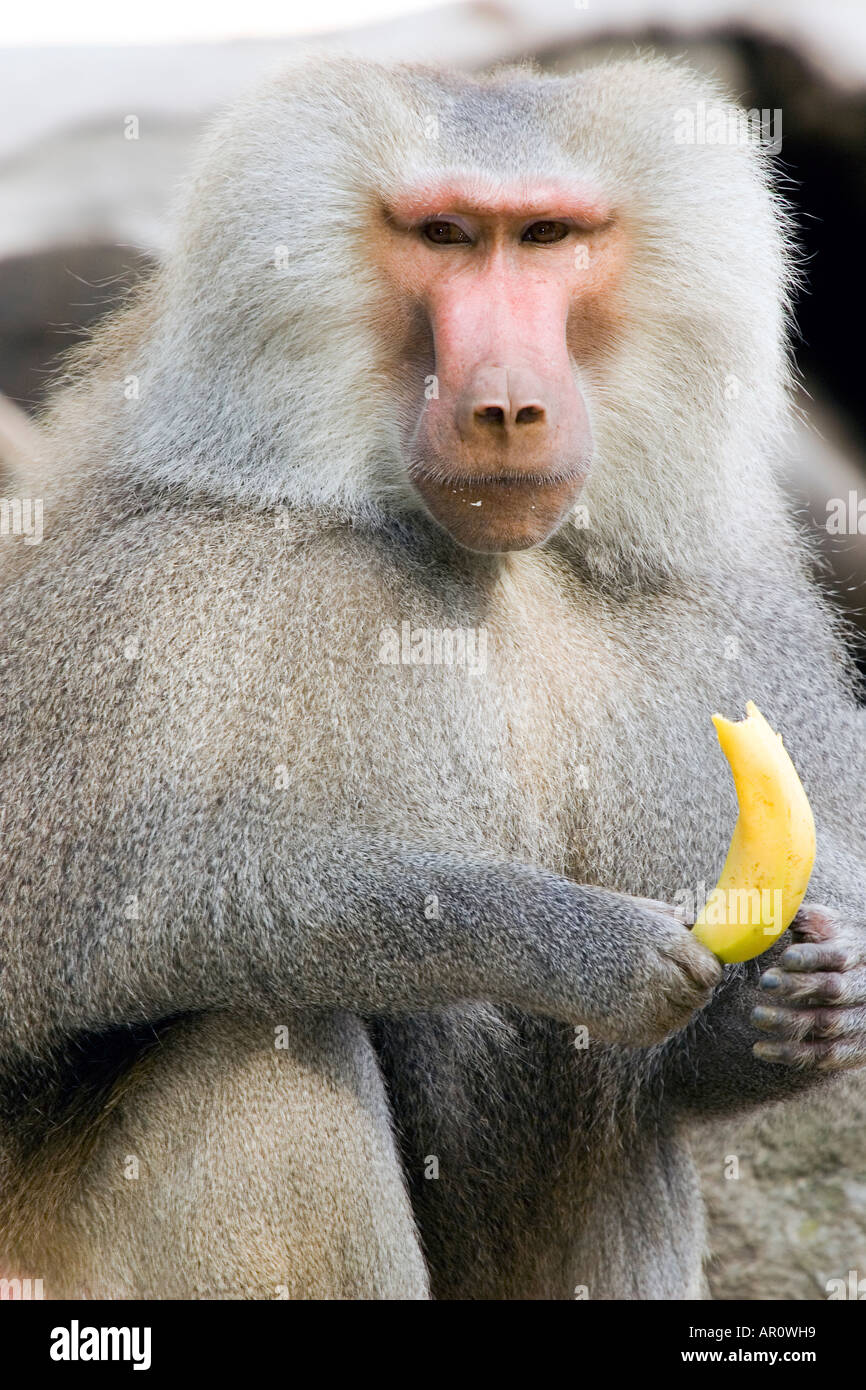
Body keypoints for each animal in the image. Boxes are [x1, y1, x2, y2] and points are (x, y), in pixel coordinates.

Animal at [0, 53, 864, 1302]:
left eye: (547, 236)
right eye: (446, 235)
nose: (506, 407)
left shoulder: (712, 614)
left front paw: (795, 1009)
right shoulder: (165, 598)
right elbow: (115, 931)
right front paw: (575, 941)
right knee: (257, 1037)